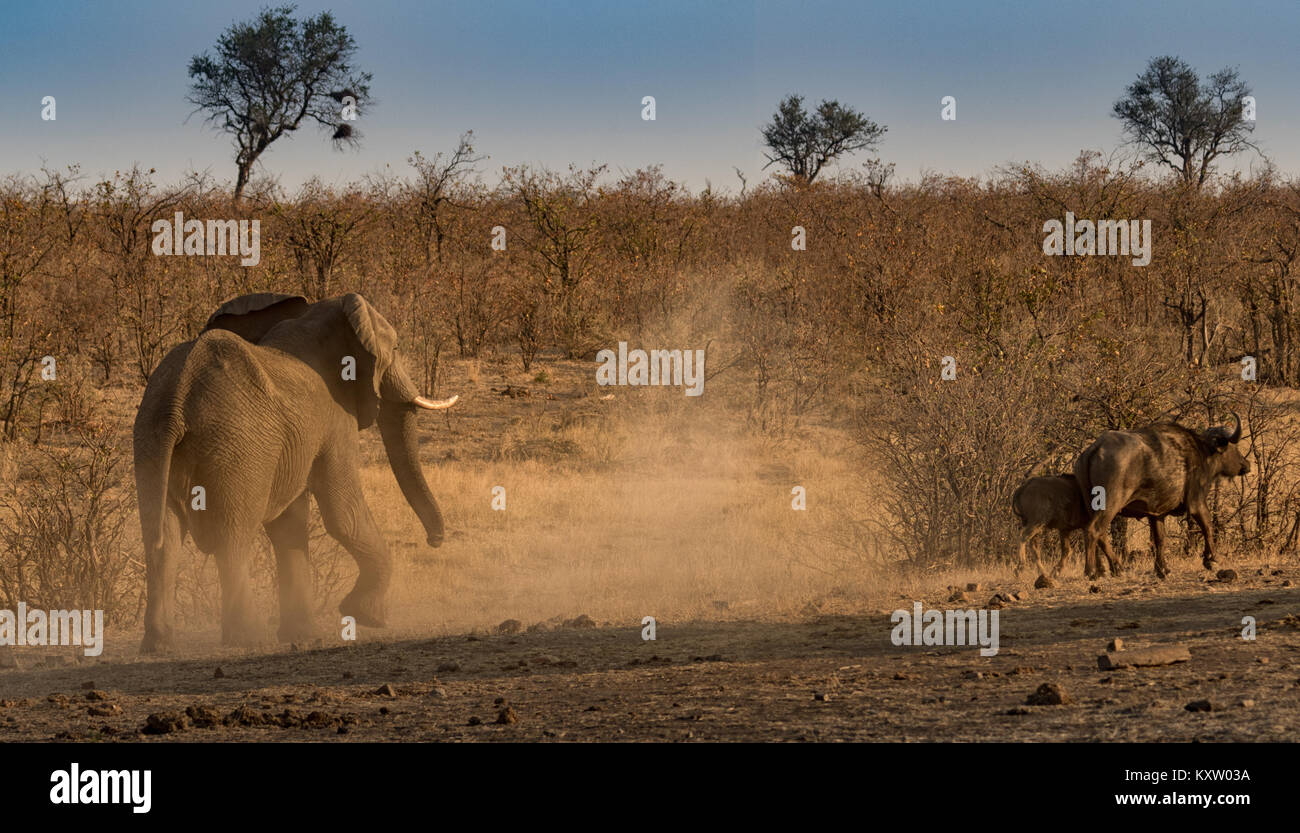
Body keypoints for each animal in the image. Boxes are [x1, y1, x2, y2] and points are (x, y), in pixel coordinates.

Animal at [1073, 415, 1249, 579]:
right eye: (1233, 447)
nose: (1246, 465)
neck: (1201, 452)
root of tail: (1094, 449)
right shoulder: (1196, 502)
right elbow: (1208, 526)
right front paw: (1211, 559)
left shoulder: (1156, 513)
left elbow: (1159, 539)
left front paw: (1162, 569)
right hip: (1111, 503)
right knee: (1094, 530)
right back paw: (1093, 571)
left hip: (1092, 505)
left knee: (1099, 534)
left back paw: (1111, 568)